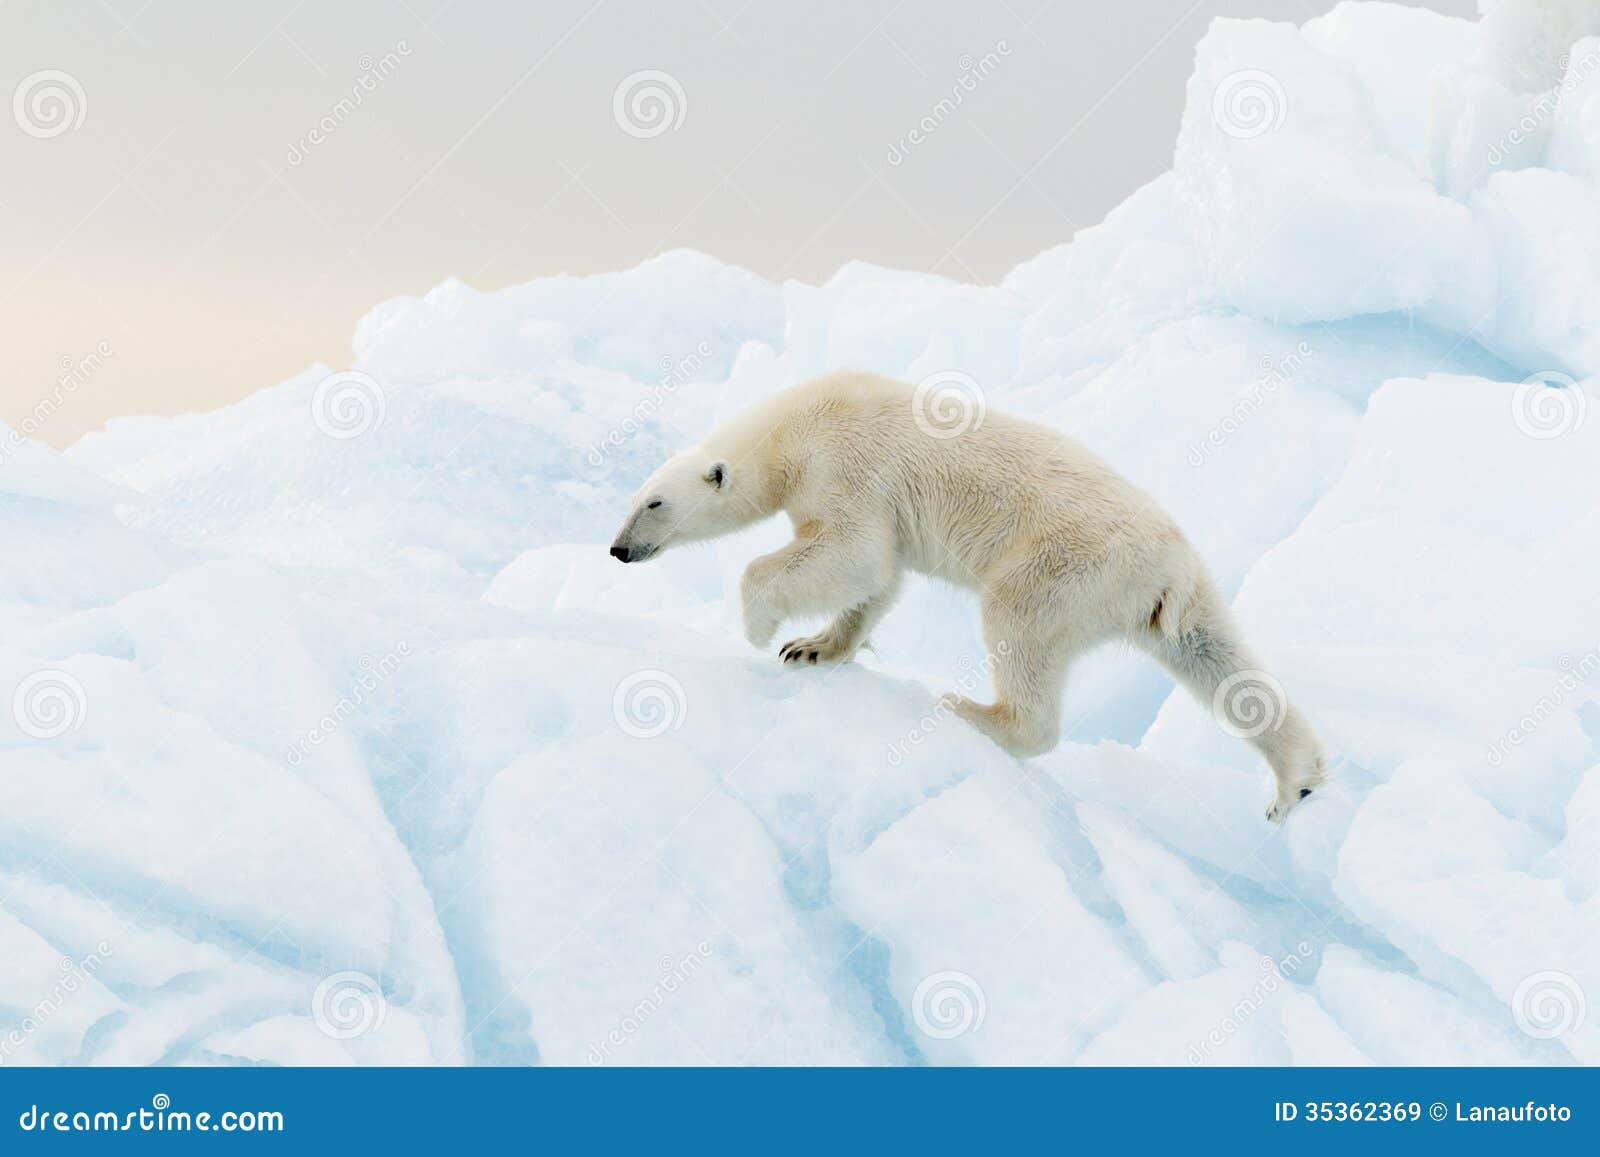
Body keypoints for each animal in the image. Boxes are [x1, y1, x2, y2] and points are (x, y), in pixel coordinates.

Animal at [609, 370, 1326, 822]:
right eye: (634, 498)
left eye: (654, 502)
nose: (618, 550)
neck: (793, 426)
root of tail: (1168, 567)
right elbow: (877, 578)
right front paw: (810, 647)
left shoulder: (846, 464)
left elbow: (853, 554)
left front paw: (763, 628)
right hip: (1167, 599)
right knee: (1220, 663)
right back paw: (1294, 785)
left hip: (1065, 565)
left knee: (1019, 626)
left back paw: (972, 711)